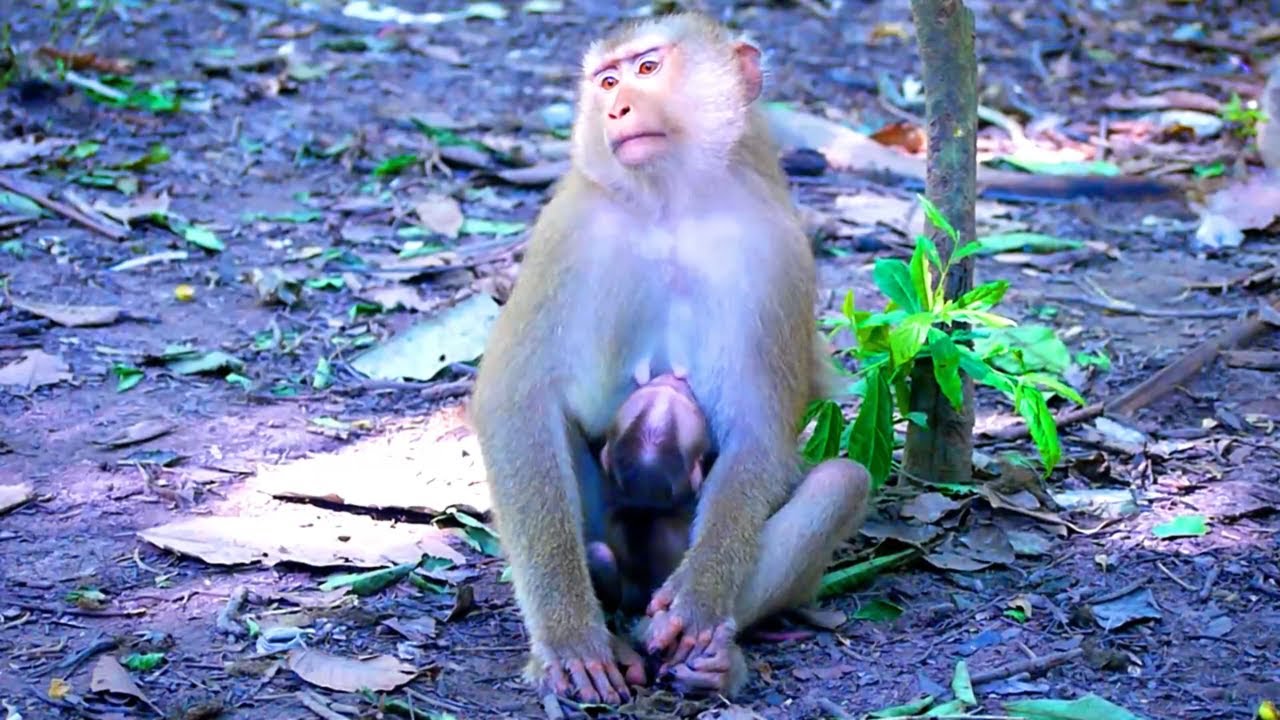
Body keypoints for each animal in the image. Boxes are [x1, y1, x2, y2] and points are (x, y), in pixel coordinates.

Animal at [468, 12, 871, 704]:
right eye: (607, 81)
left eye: (648, 68)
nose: (617, 108)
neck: (671, 206)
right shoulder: (568, 233)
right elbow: (517, 402)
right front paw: (569, 640)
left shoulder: (776, 253)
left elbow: (760, 431)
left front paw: (699, 602)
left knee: (841, 482)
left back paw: (704, 657)